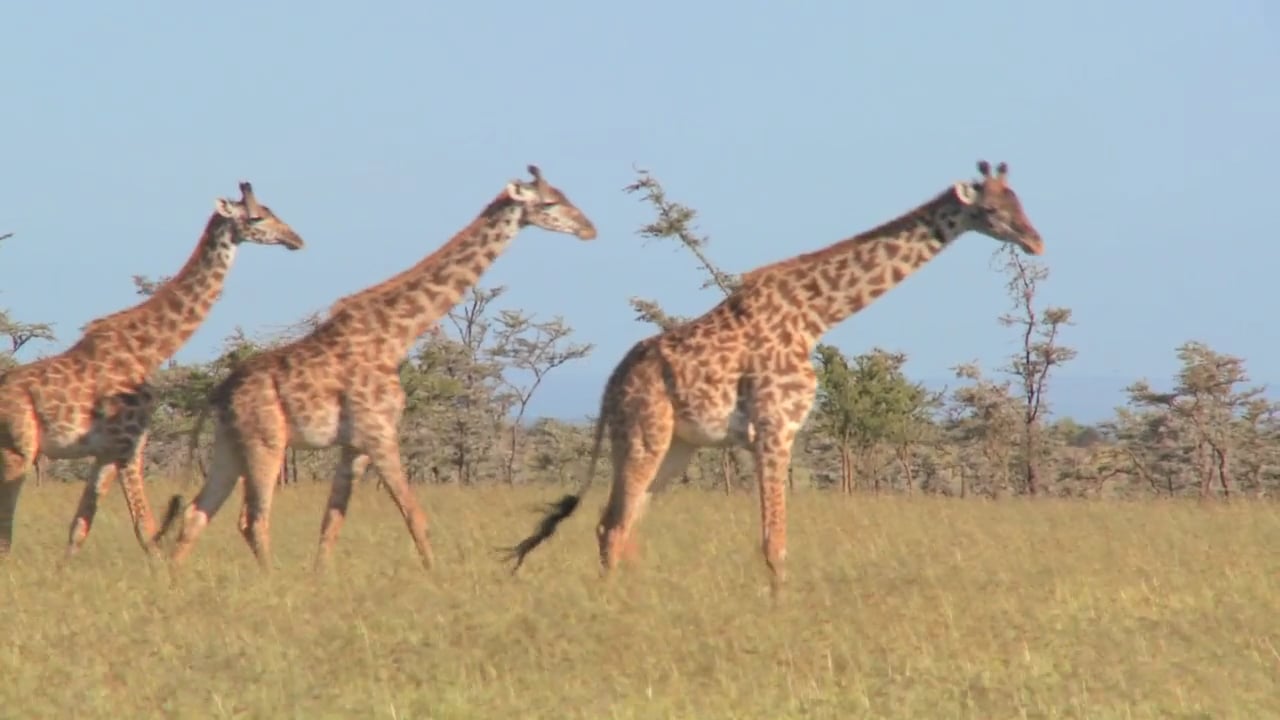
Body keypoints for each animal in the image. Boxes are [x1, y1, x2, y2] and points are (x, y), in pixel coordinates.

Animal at [0, 182, 304, 557]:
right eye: (256, 217)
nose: (295, 239)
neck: (151, 350)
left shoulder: (106, 452)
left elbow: (79, 528)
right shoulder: (131, 444)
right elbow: (145, 528)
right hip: (19, 449)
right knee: (6, 527)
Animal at [161, 165, 598, 571]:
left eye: (562, 194)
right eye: (549, 203)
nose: (589, 228)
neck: (396, 335)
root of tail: (218, 395)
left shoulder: (354, 446)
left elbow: (330, 525)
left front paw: (319, 580)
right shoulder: (380, 434)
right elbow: (415, 517)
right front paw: (436, 578)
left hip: (229, 446)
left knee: (197, 514)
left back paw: (173, 580)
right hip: (265, 442)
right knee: (252, 520)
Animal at [503, 160, 1045, 592]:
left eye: (1019, 201)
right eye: (992, 211)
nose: (1036, 240)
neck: (816, 317)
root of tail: (610, 385)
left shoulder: (775, 433)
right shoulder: (773, 428)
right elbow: (773, 541)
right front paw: (780, 609)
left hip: (676, 448)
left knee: (621, 525)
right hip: (643, 434)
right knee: (612, 526)